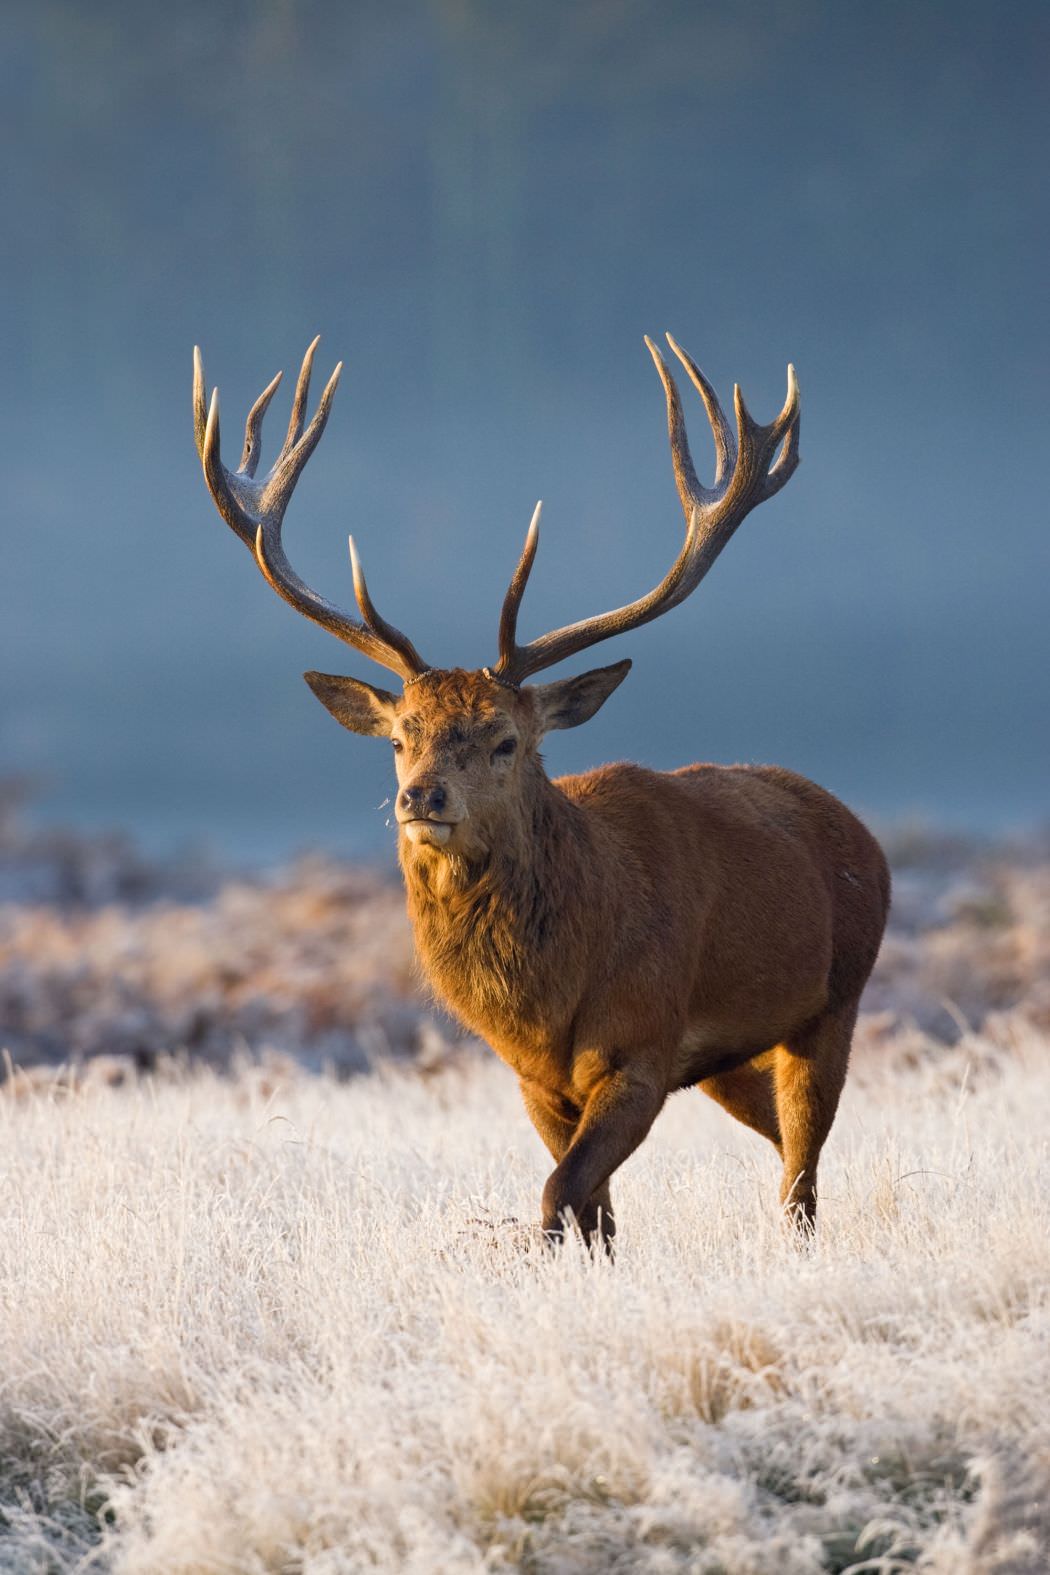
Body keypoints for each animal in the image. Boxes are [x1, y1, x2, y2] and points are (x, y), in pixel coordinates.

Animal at [192, 332, 890, 1250]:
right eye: (398, 737)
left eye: (506, 739)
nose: (422, 798)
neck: (545, 999)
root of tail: (863, 836)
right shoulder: (534, 1077)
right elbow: (596, 1215)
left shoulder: (641, 1044)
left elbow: (561, 1195)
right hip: (730, 1056)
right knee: (783, 1145)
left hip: (834, 1001)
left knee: (803, 1165)